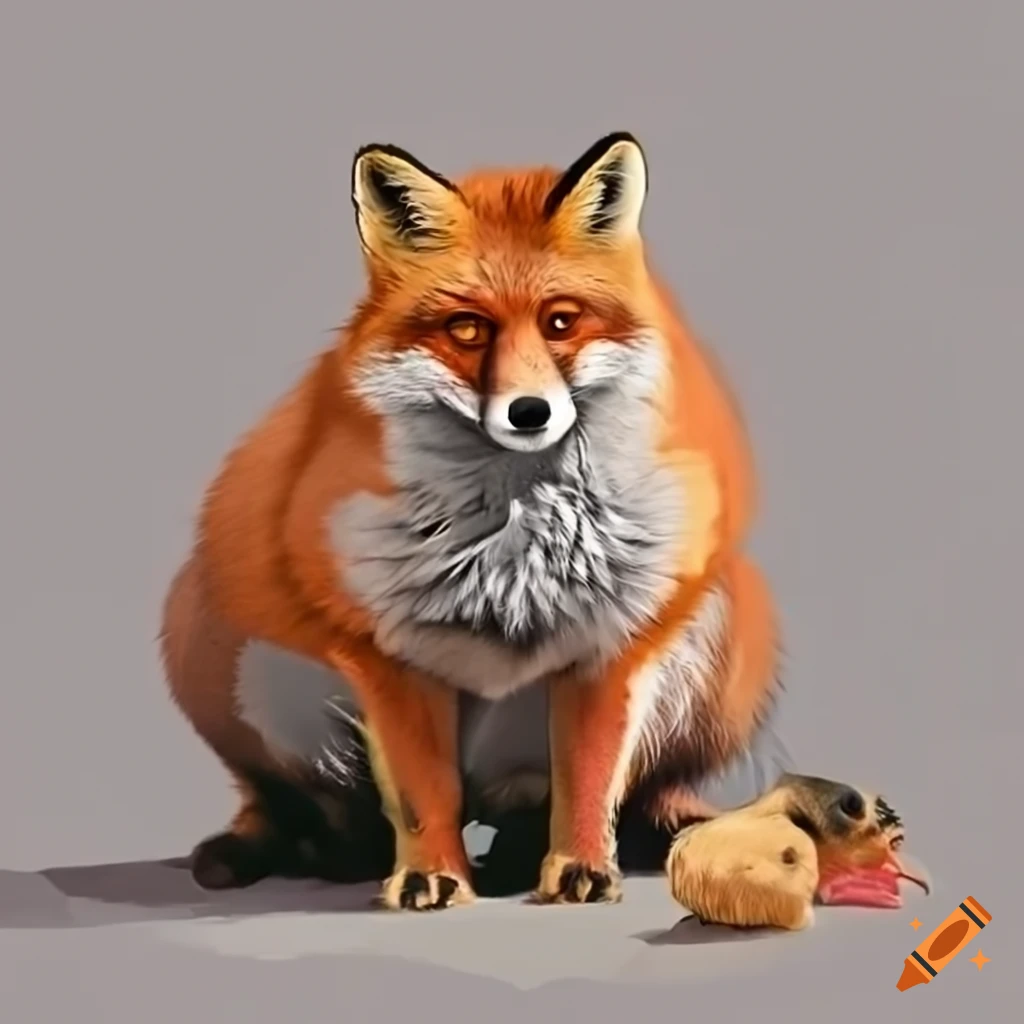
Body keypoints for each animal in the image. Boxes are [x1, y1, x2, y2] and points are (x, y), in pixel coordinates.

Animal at [160, 131, 782, 911]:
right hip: (233, 651)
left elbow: (587, 774)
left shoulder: (611, 636)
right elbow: (423, 792)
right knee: (298, 804)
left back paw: (547, 850)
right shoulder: (389, 650)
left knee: (616, 796)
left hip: (720, 623)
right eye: (467, 329)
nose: (529, 412)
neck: (518, 538)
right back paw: (331, 853)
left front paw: (579, 869)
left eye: (560, 322)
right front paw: (432, 875)